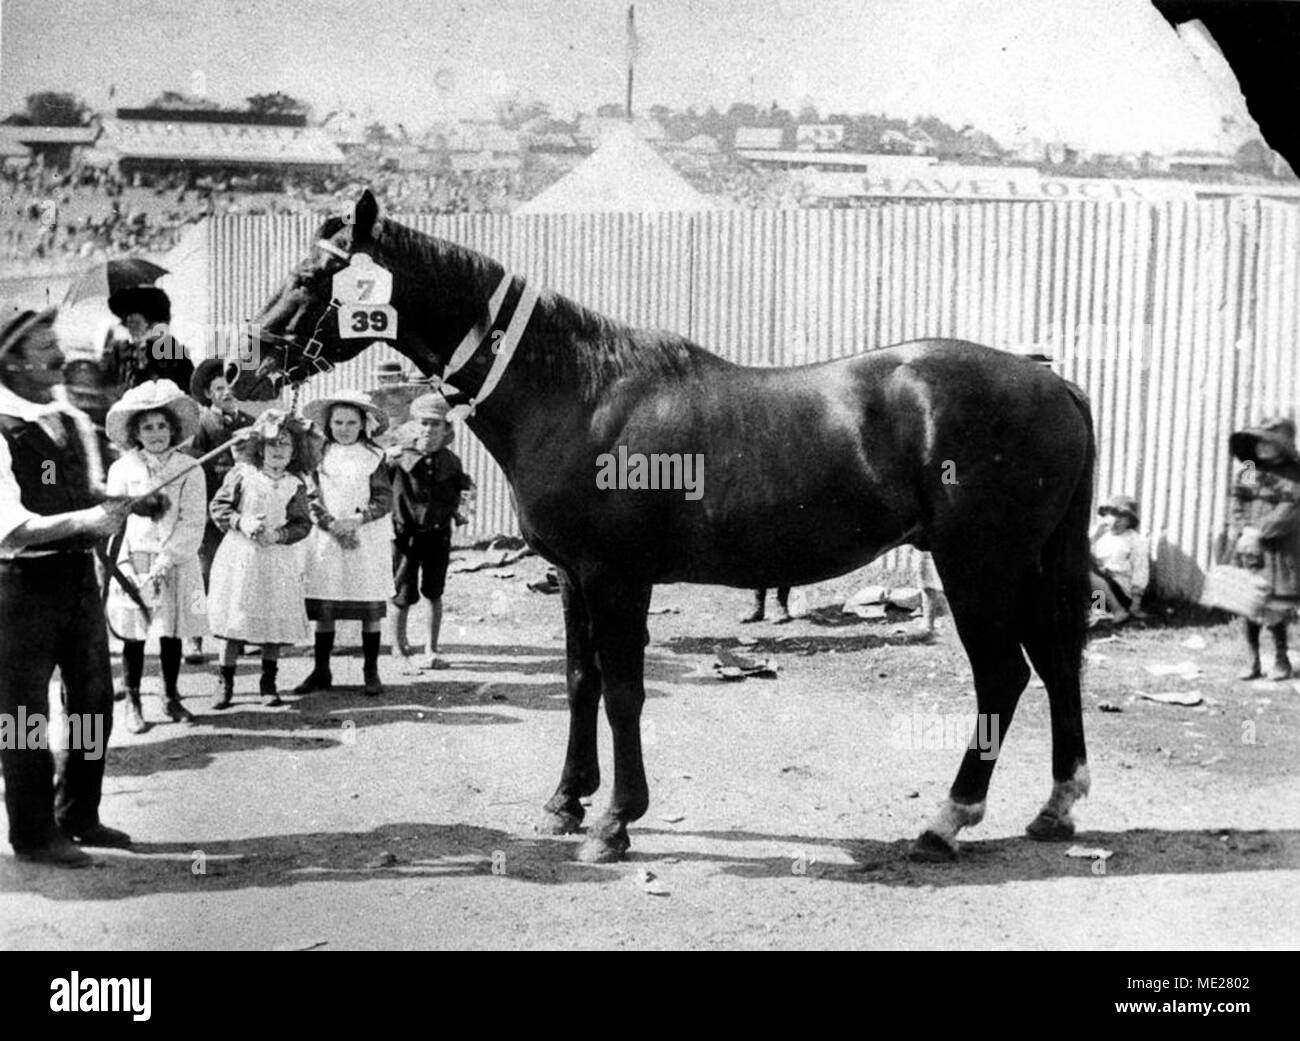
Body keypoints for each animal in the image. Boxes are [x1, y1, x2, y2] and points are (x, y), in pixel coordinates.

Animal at [228, 189, 1096, 864]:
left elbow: (622, 690)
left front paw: (614, 820)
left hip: (978, 566)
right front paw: (566, 800)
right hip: (1025, 565)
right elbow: (580, 682)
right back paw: (1056, 805)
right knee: (1058, 665)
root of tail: (1054, 383)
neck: (577, 392)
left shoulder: (618, 577)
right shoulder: (573, 577)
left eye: (310, 275)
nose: (244, 366)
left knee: (1004, 675)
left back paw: (947, 820)